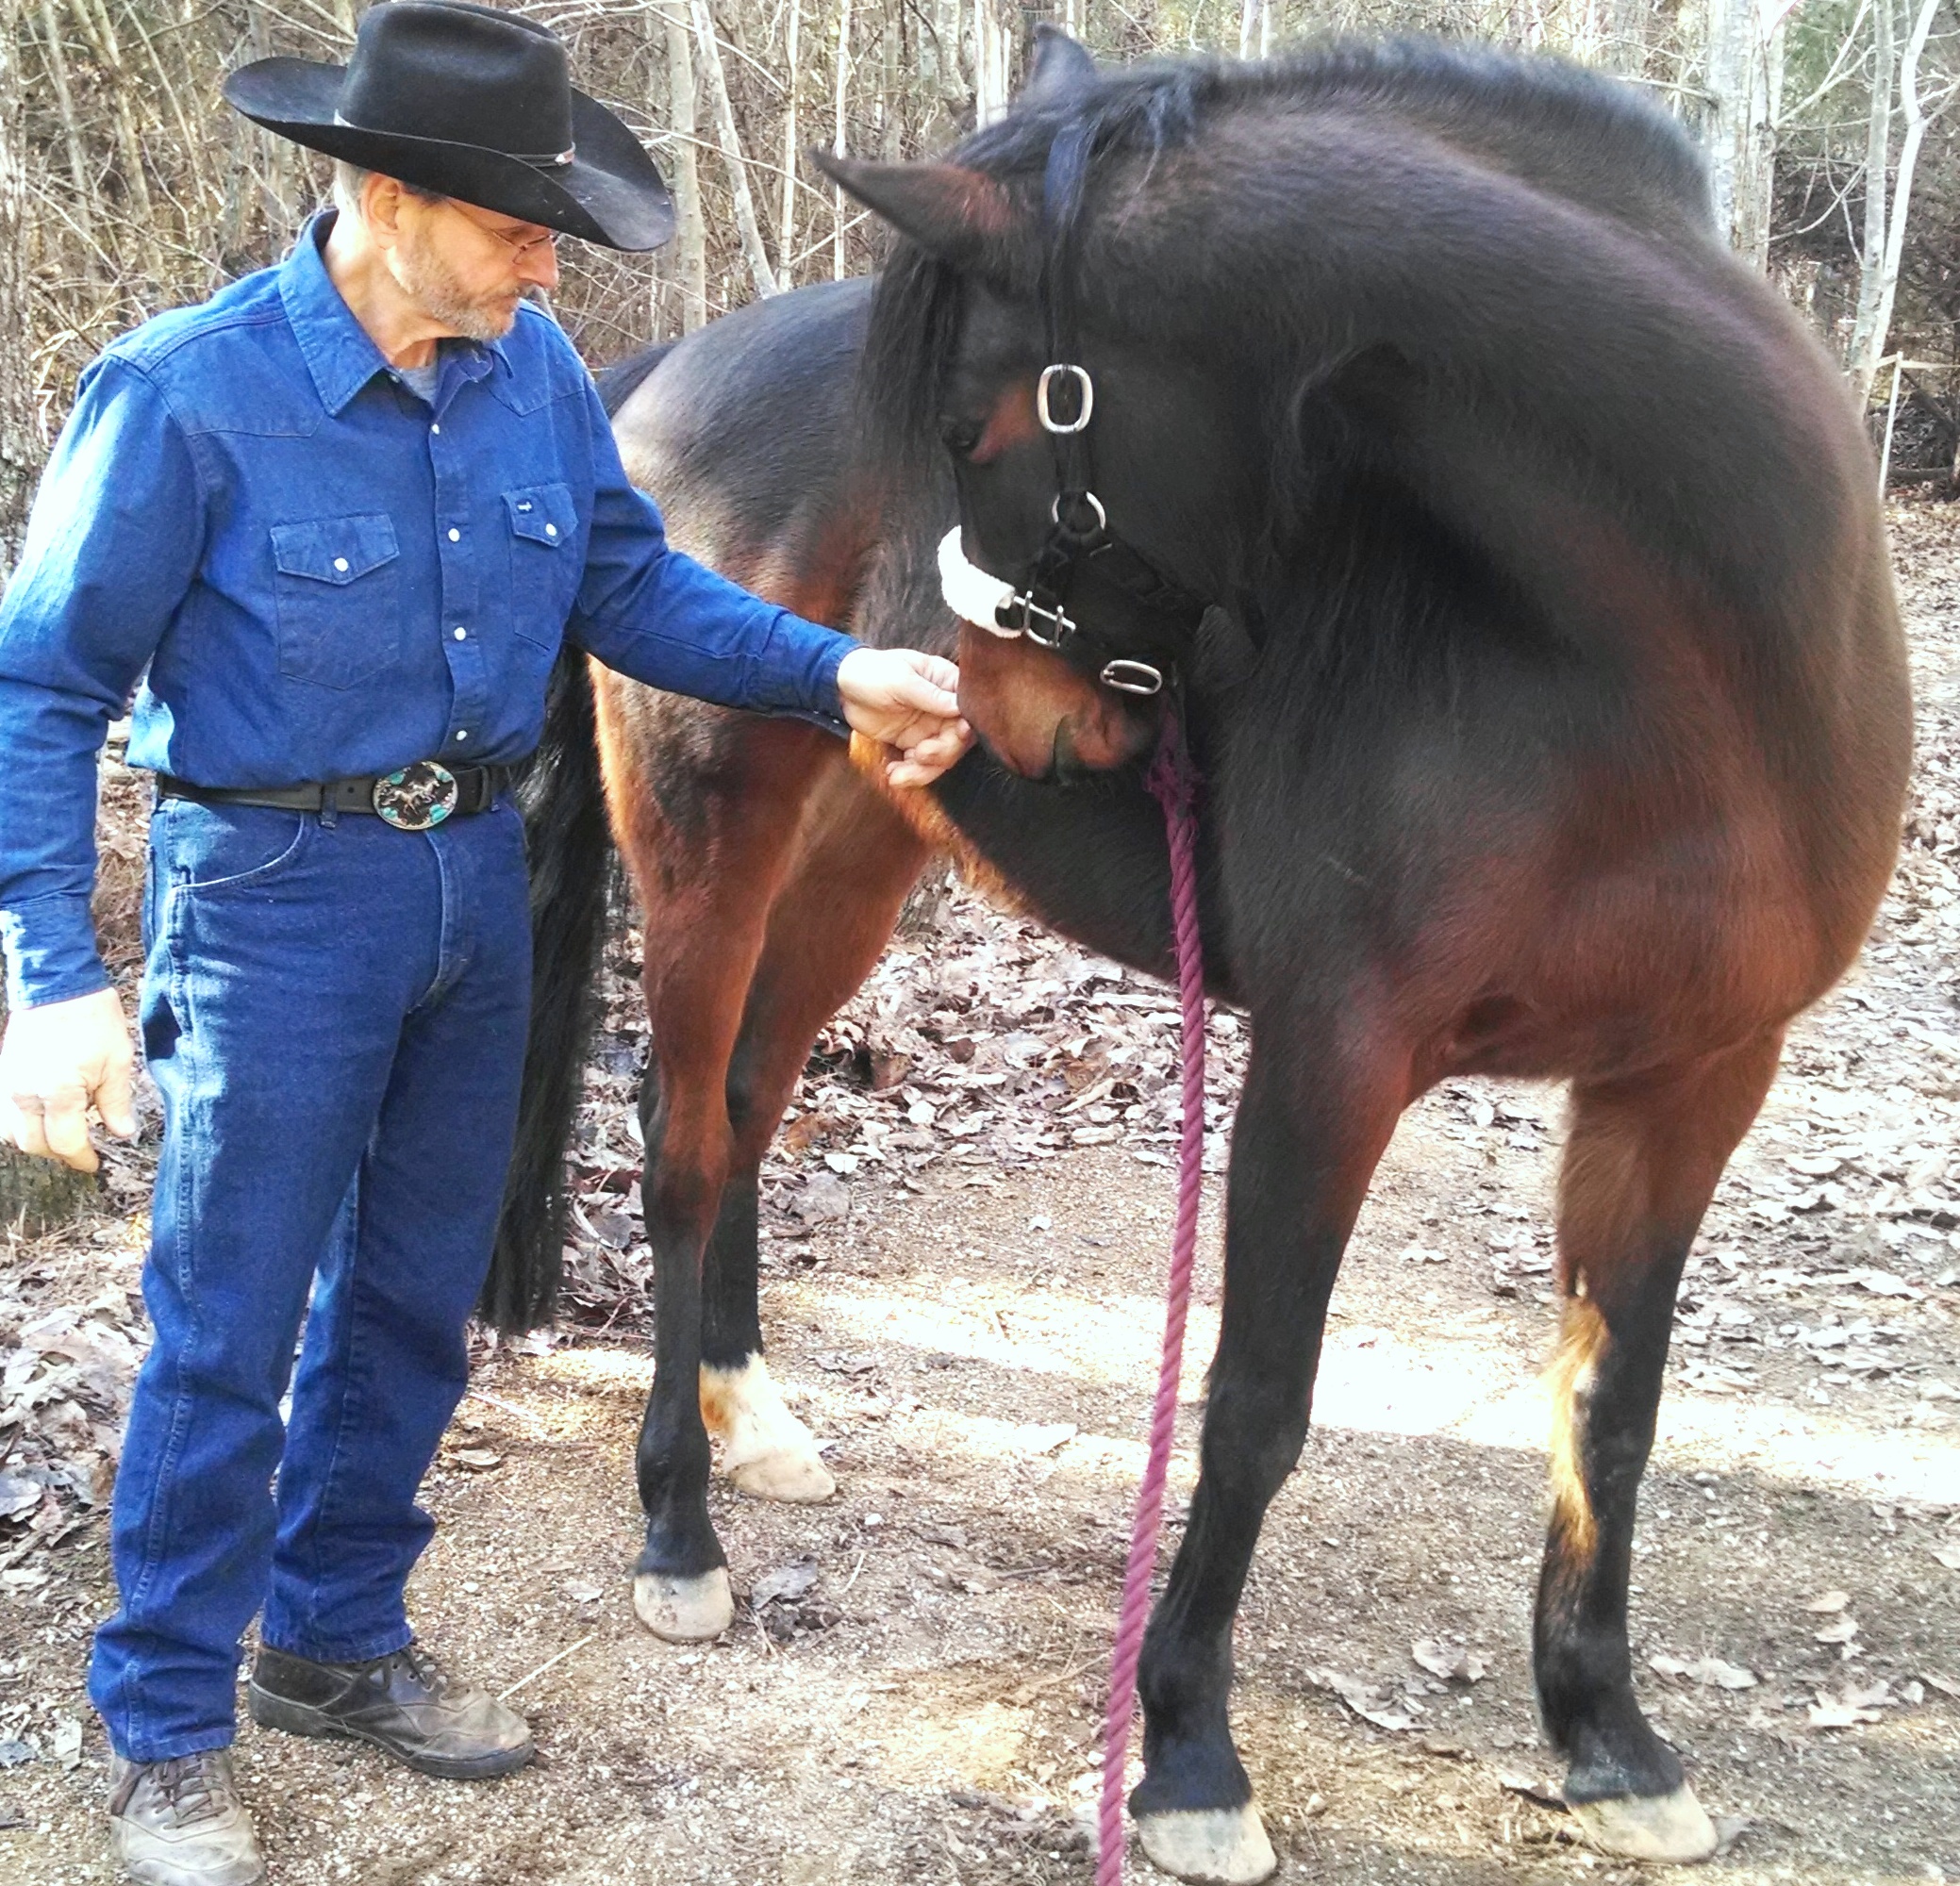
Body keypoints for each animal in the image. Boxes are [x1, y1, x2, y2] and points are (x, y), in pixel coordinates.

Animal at [488, 33, 1912, 1883]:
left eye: (971, 423)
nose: (1008, 715)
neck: (1674, 683)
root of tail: (651, 385)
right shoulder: (1333, 1058)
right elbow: (1253, 1402)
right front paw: (1185, 1757)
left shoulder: (1691, 1082)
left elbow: (1614, 1402)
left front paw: (1605, 1736)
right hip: (705, 836)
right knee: (673, 1148)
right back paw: (678, 1528)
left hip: (855, 859)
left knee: (740, 1105)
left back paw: (751, 1420)